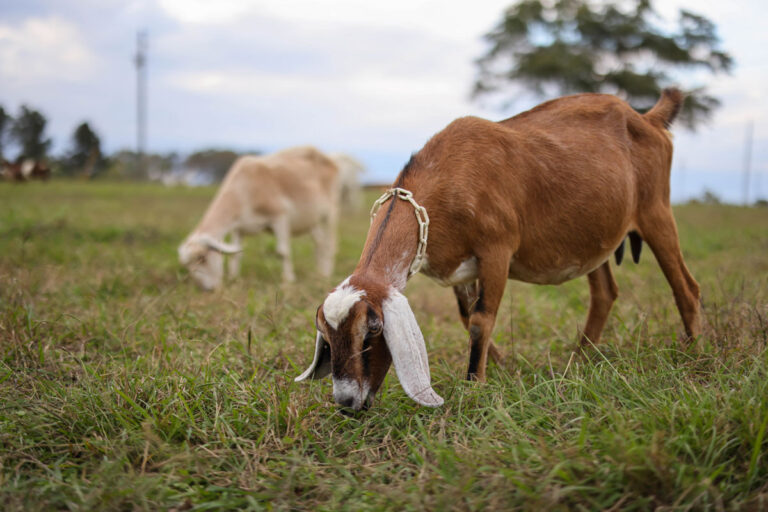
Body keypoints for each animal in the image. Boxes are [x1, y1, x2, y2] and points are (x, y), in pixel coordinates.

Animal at [179, 146, 339, 290]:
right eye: (188, 266)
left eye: (202, 258)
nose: (208, 289)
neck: (244, 189)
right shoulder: (238, 228)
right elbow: (236, 256)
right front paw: (234, 279)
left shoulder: (280, 216)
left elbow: (282, 252)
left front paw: (288, 281)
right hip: (312, 221)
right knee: (319, 243)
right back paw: (319, 273)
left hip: (329, 212)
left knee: (329, 244)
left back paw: (326, 274)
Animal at [296, 89, 701, 411]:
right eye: (326, 336)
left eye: (373, 330)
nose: (347, 402)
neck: (450, 175)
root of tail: (646, 117)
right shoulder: (459, 270)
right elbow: (466, 317)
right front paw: (503, 367)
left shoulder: (497, 251)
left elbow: (480, 321)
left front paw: (475, 384)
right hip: (594, 235)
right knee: (605, 292)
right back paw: (580, 359)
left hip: (656, 211)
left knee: (686, 287)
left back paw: (693, 355)